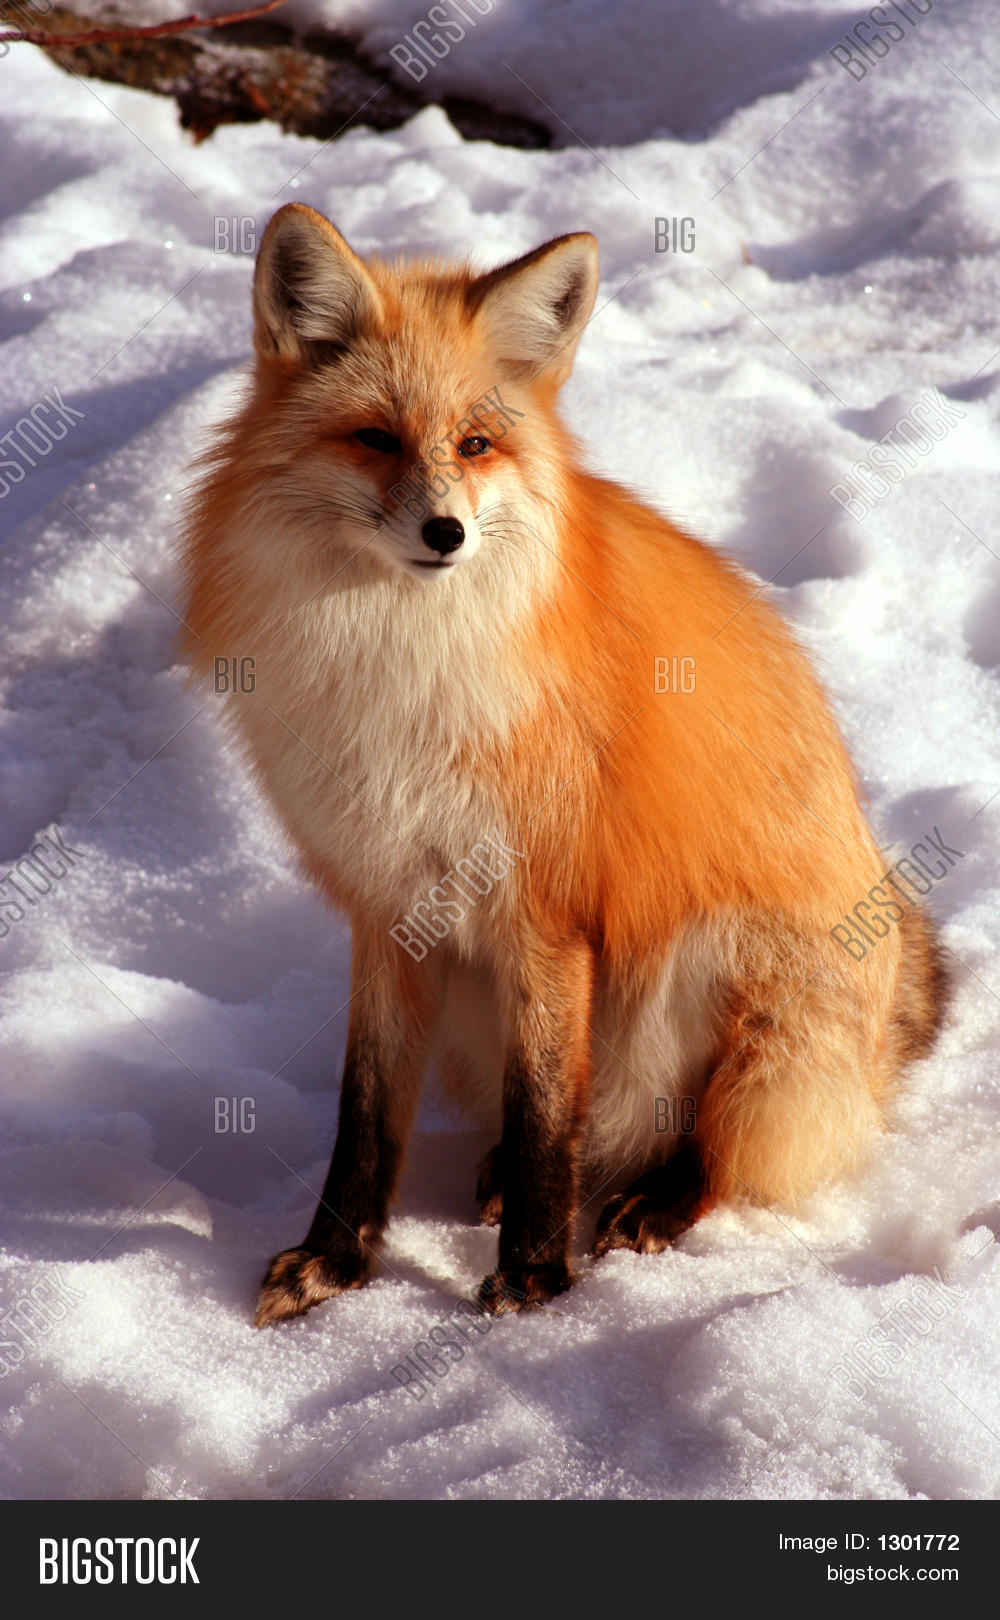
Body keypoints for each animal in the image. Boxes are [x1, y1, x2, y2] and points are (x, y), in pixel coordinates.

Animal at [180, 203, 948, 1326]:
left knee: (721, 1146)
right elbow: (365, 1117)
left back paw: (651, 1201)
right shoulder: (389, 904)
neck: (401, 664)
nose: (445, 532)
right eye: (374, 438)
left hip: (710, 966)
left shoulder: (545, 907)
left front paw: (536, 1280)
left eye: (475, 444)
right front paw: (335, 1263)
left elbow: (549, 1111)